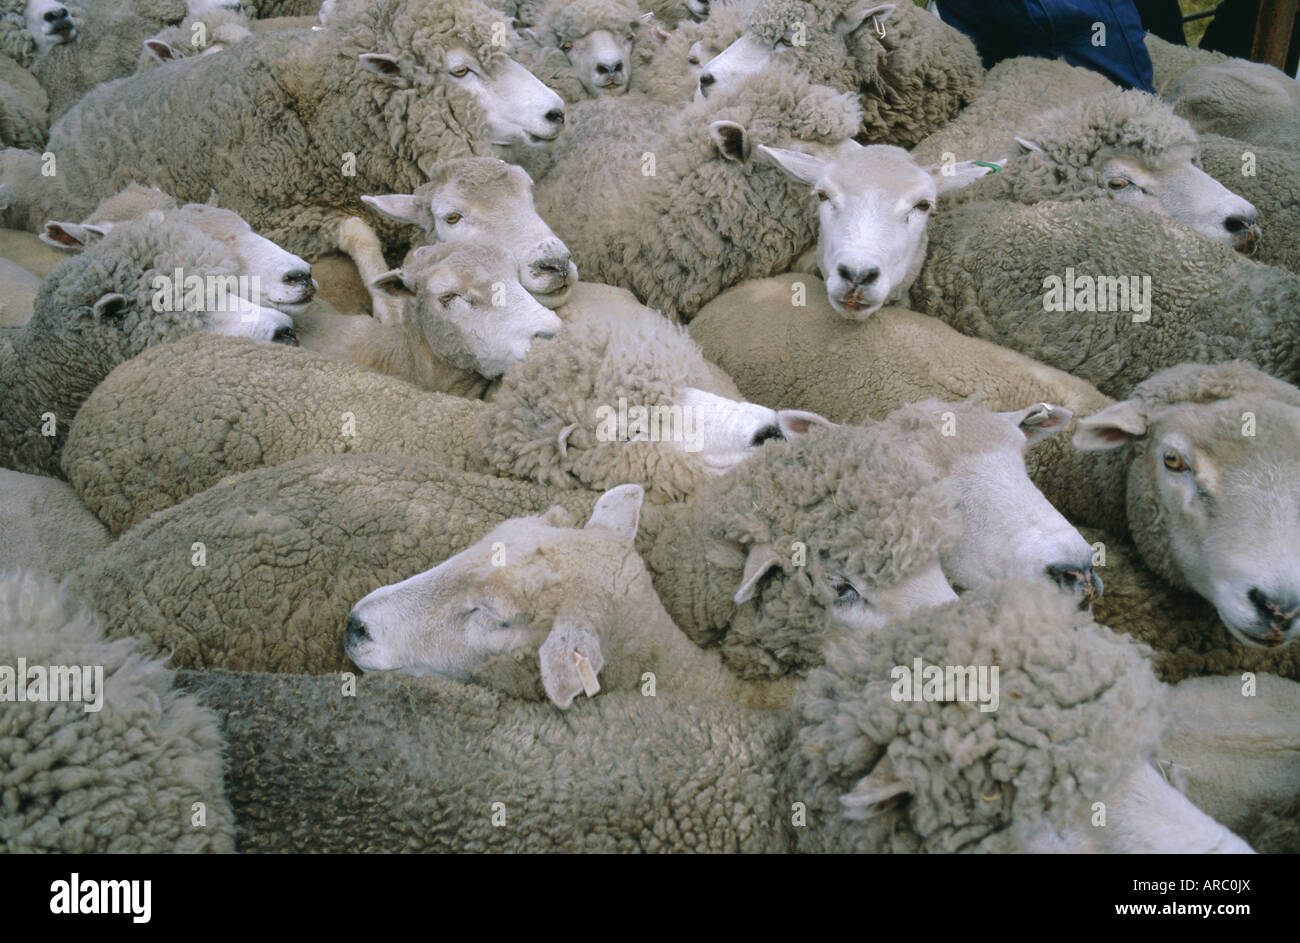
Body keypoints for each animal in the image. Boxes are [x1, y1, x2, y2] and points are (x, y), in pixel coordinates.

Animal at [18, 0, 566, 324]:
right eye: (459, 70)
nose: (556, 111)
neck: (322, 114)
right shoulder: (273, 212)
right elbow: (357, 230)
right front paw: (388, 304)